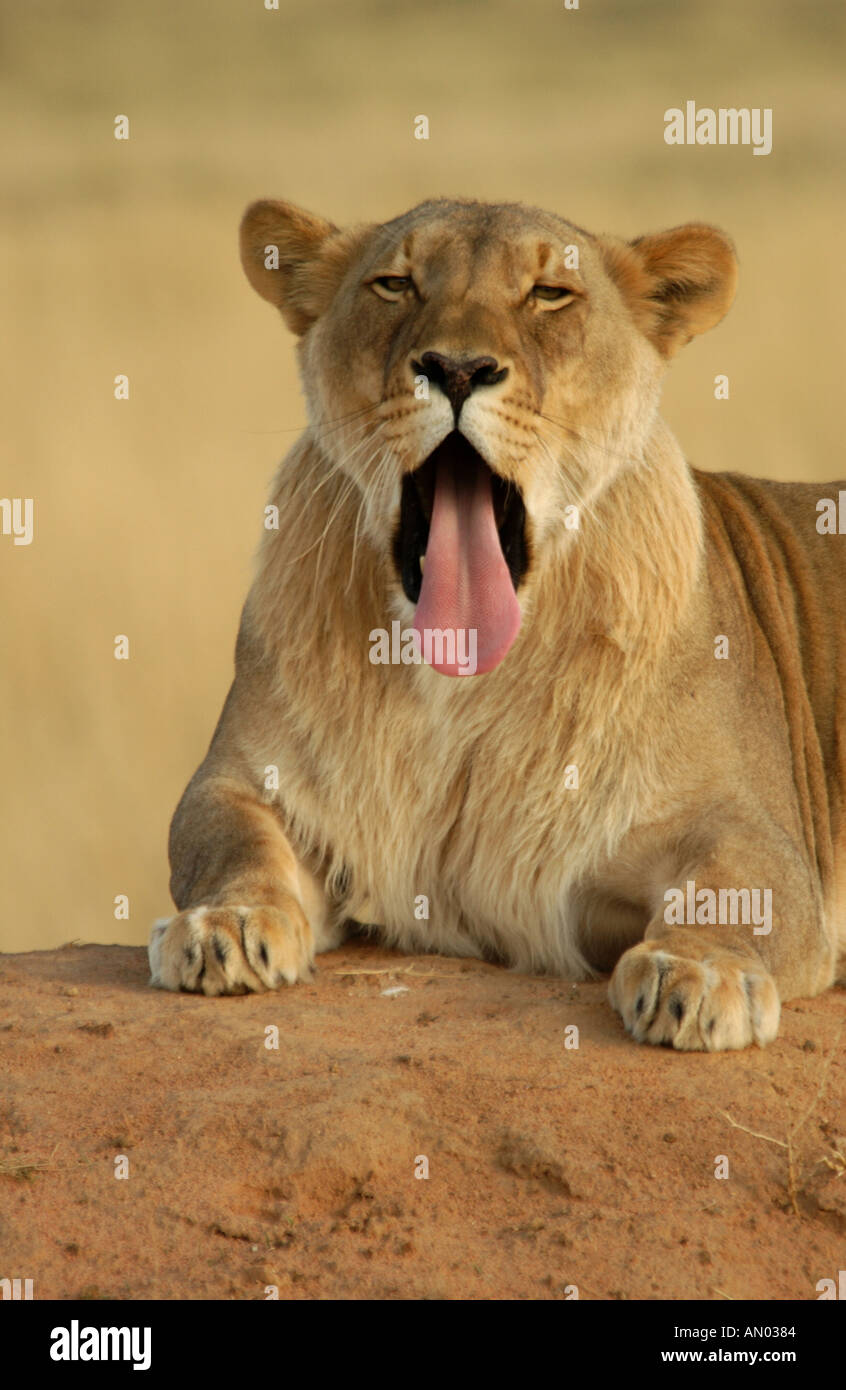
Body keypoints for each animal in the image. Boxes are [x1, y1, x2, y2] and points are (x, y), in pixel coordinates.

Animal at [149, 195, 846, 1051]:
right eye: (396, 284)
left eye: (549, 294)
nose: (455, 369)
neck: (463, 685)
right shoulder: (239, 776)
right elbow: (229, 839)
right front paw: (228, 923)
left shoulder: (754, 829)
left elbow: (733, 889)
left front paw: (696, 973)